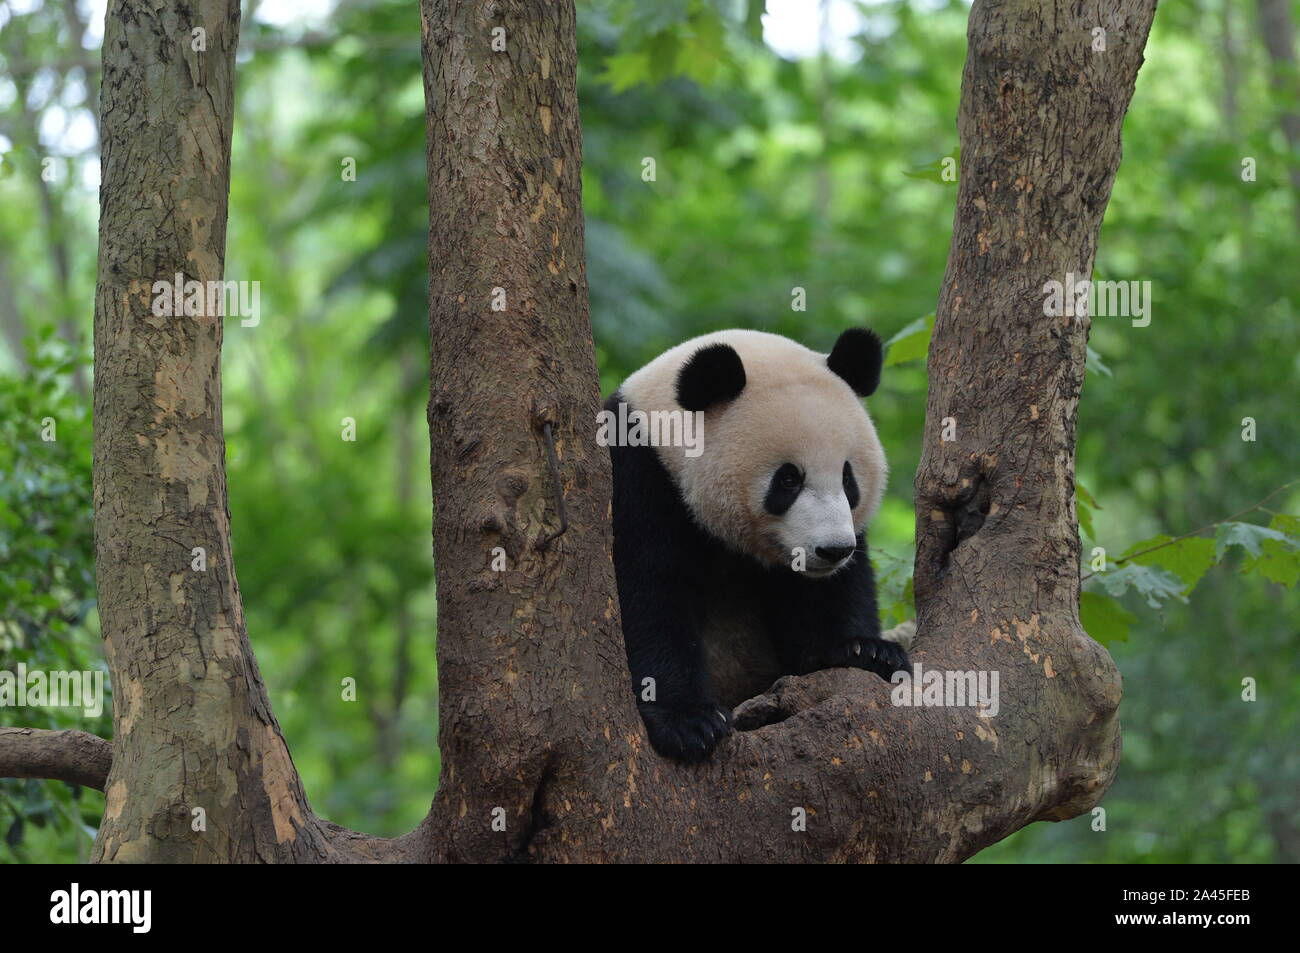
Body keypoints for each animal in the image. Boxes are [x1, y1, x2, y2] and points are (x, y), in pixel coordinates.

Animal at [603, 327, 909, 763]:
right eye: (788, 479)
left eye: (848, 478)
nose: (833, 550)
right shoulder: (637, 479)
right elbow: (646, 595)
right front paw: (689, 723)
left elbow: (831, 595)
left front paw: (865, 650)